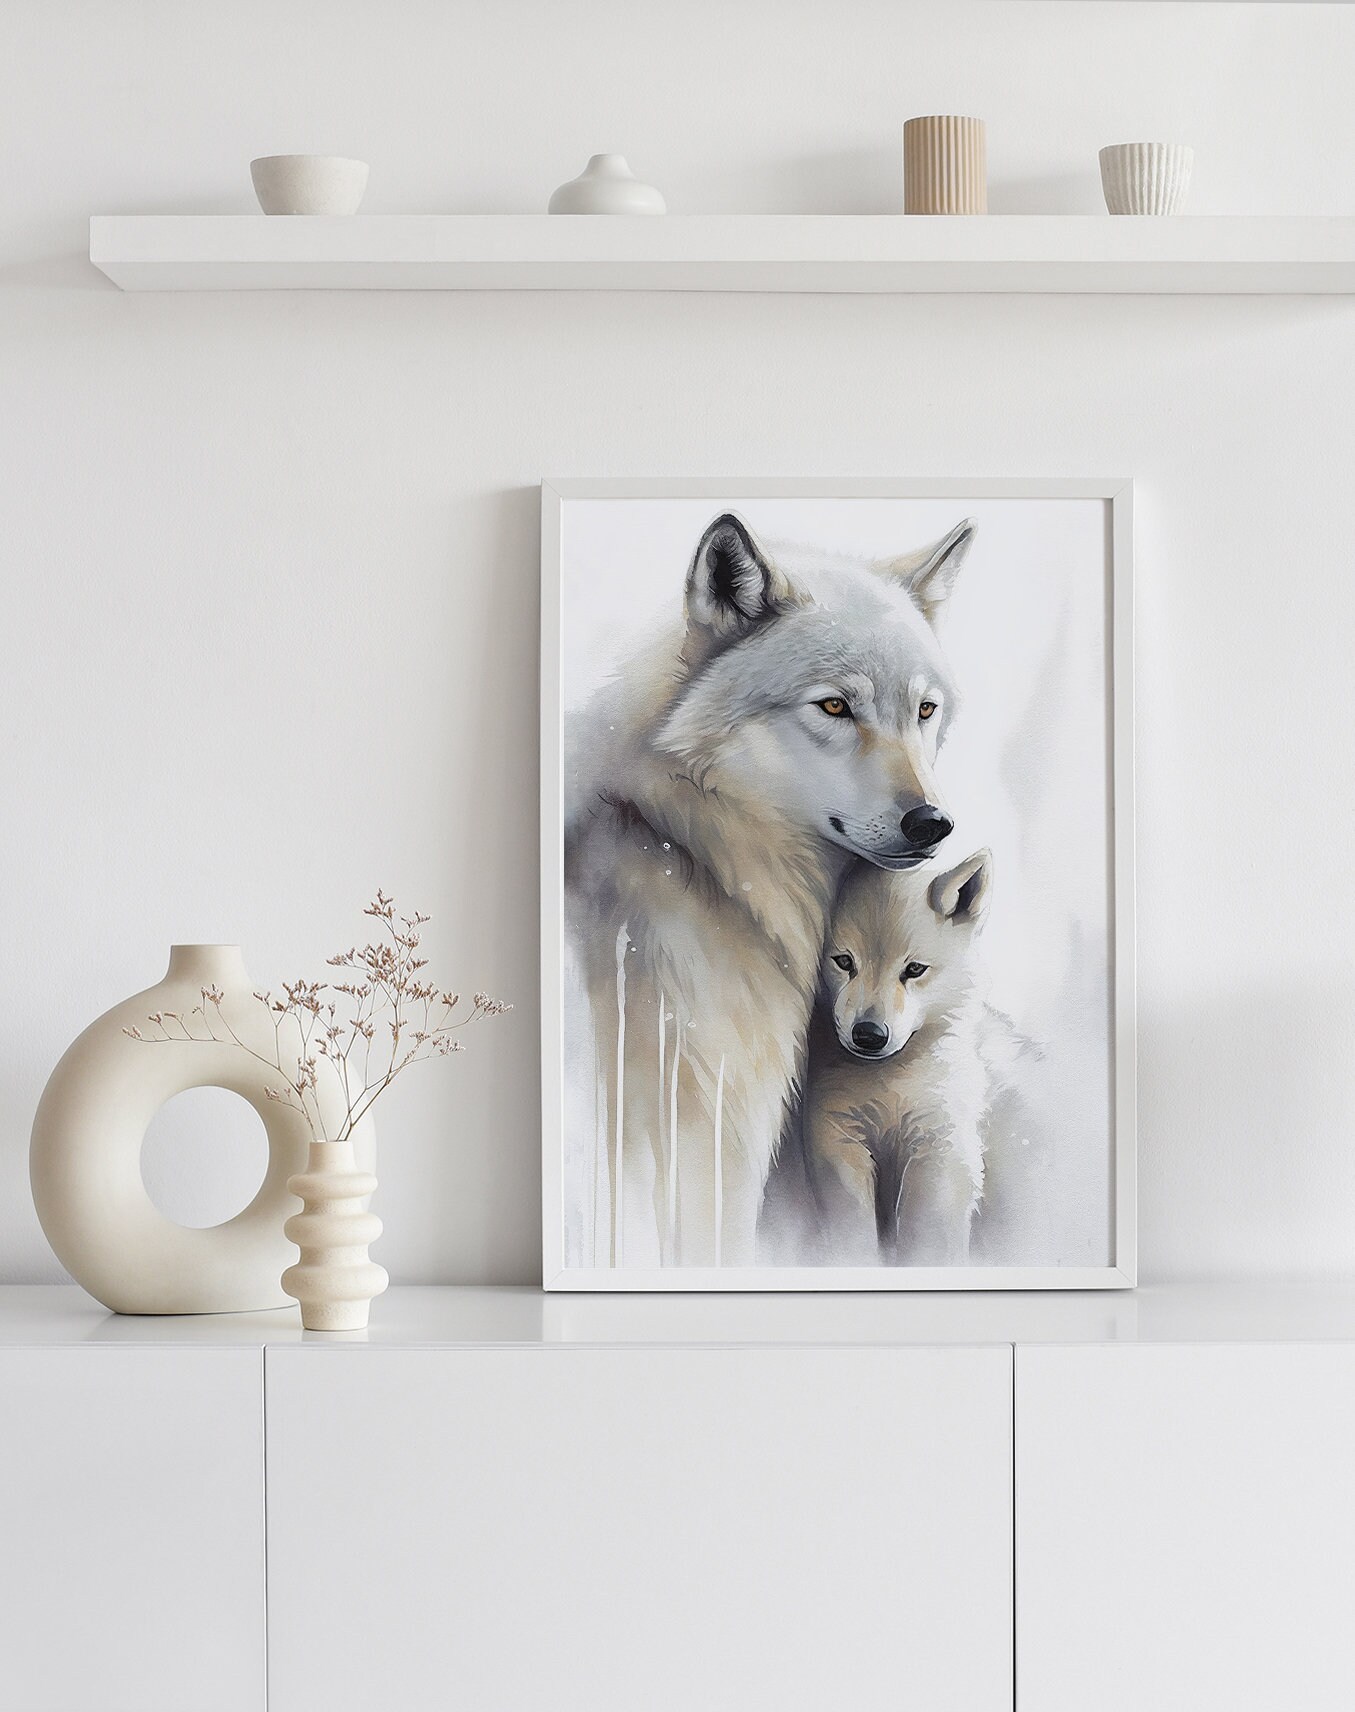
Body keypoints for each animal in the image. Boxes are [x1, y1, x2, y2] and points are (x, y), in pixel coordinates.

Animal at [802, 849, 1044, 1266]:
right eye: (844, 962)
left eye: (914, 969)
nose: (868, 1035)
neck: (887, 1088)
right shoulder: (838, 1139)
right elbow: (852, 1230)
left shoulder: (940, 1145)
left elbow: (927, 1237)